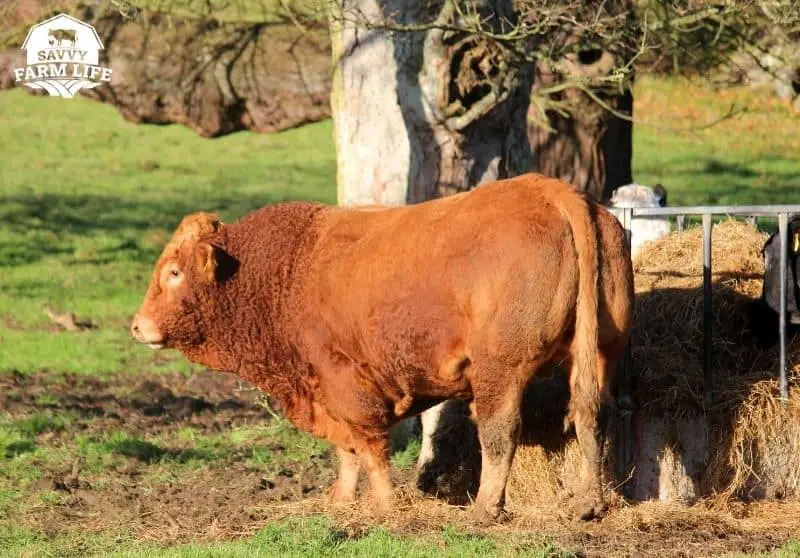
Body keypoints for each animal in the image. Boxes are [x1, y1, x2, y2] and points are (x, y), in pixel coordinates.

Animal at [130, 173, 634, 523]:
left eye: (173, 272)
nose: (137, 326)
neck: (287, 272)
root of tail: (551, 190)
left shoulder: (346, 387)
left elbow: (369, 449)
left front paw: (386, 506)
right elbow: (347, 451)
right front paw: (339, 501)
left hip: (500, 370)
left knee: (499, 432)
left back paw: (485, 508)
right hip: (600, 352)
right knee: (593, 413)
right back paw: (591, 501)